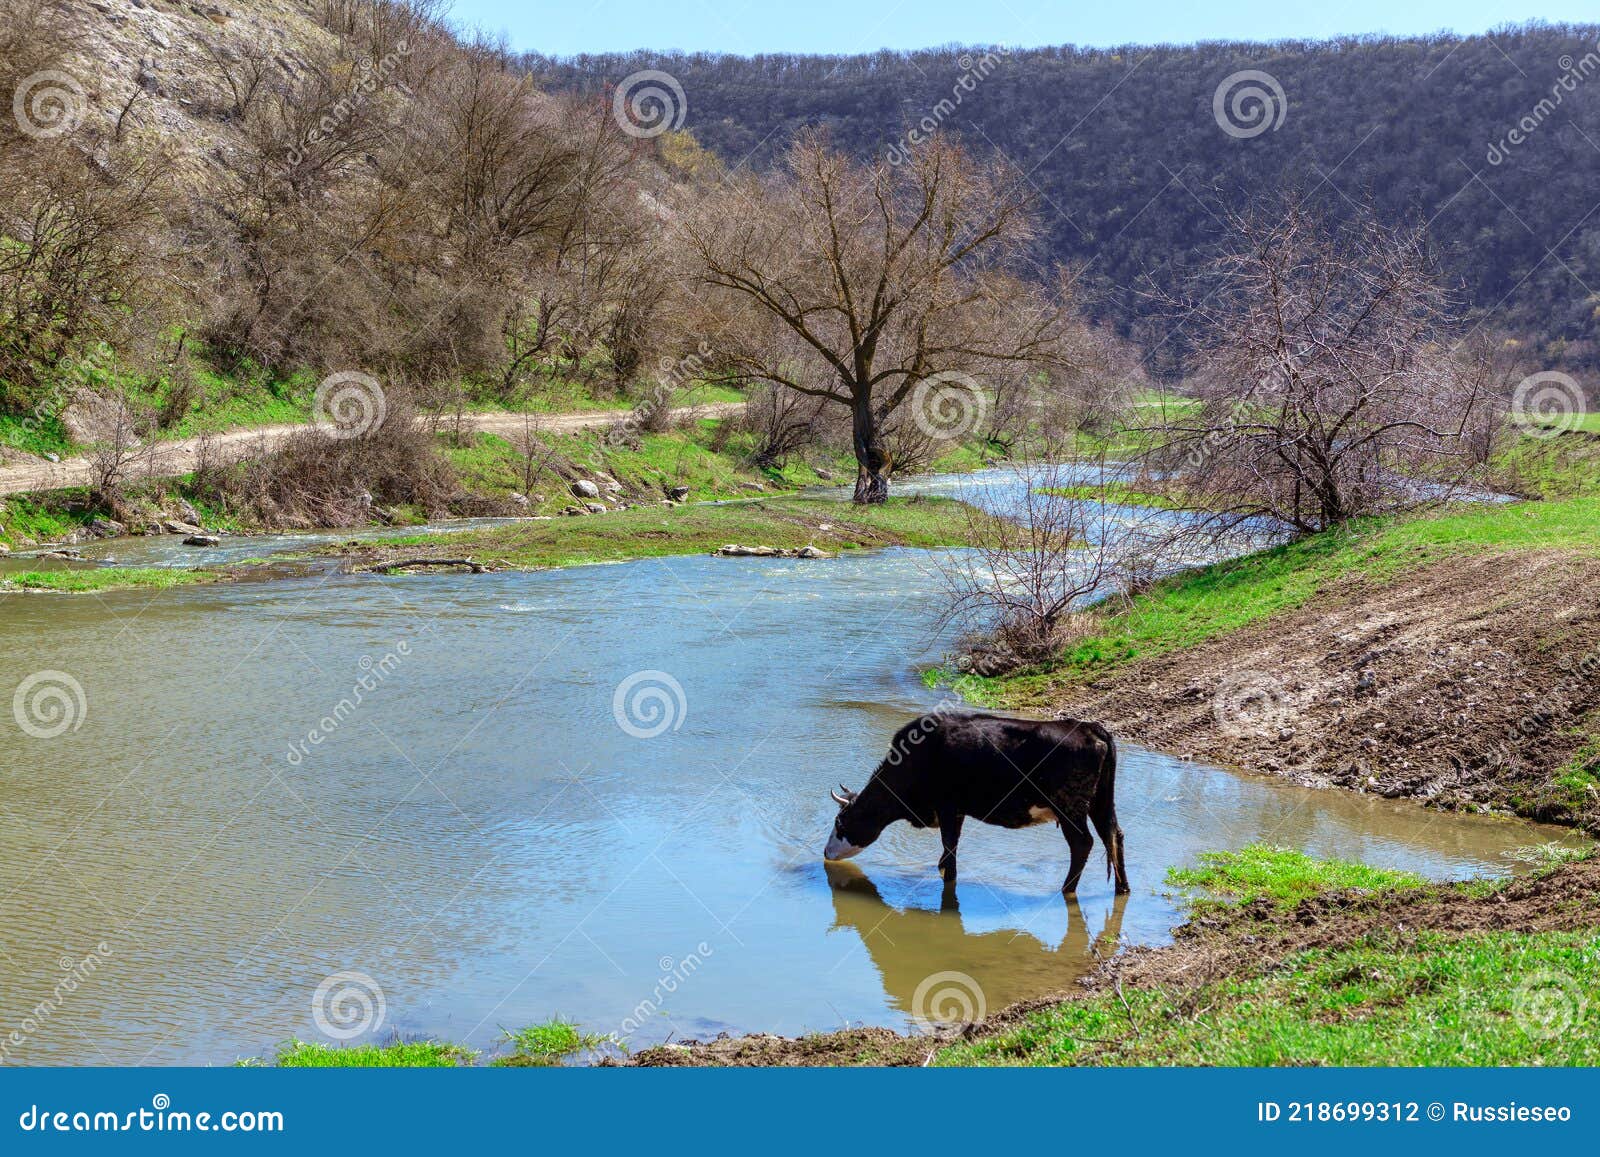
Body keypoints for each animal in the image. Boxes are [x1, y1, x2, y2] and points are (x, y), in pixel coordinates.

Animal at [823, 713, 1129, 896]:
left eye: (840, 822)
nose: (826, 852)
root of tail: (1090, 728)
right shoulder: (956, 811)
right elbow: (949, 852)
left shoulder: (947, 807)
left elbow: (949, 850)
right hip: (1101, 802)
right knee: (1114, 835)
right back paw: (1122, 889)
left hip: (1069, 808)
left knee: (1083, 843)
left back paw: (1066, 890)